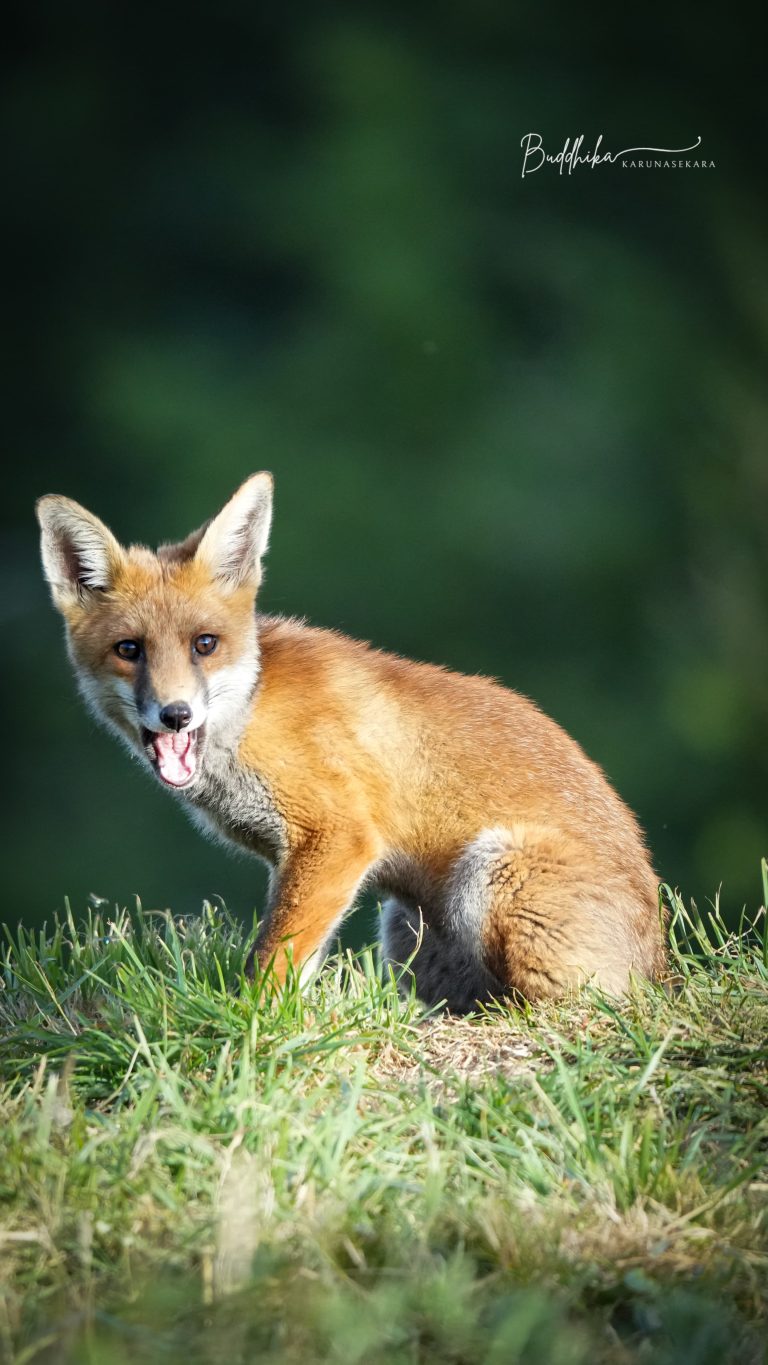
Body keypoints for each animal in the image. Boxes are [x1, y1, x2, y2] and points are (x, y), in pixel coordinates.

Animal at [36, 472, 666, 1010]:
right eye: (129, 649)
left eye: (204, 644)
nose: (175, 714)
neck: (249, 716)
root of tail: (658, 967)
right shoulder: (302, 862)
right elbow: (299, 955)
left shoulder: (336, 837)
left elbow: (275, 958)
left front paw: (253, 1026)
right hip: (407, 931)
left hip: (491, 873)